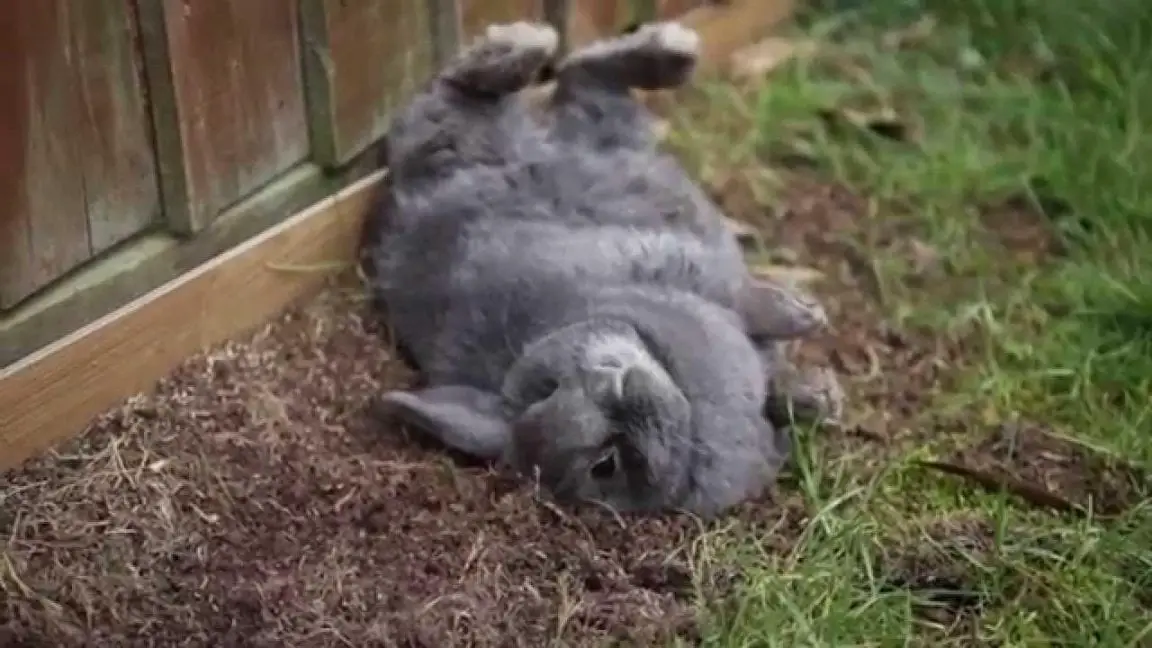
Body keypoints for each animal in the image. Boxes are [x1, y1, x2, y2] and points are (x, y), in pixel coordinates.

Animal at [361, 20, 842, 518]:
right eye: (605, 464)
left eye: (551, 384)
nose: (613, 383)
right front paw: (819, 392)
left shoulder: (665, 263)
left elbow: (745, 301)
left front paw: (805, 318)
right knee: (570, 76)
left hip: (481, 137)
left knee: (524, 78)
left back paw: (563, 44)